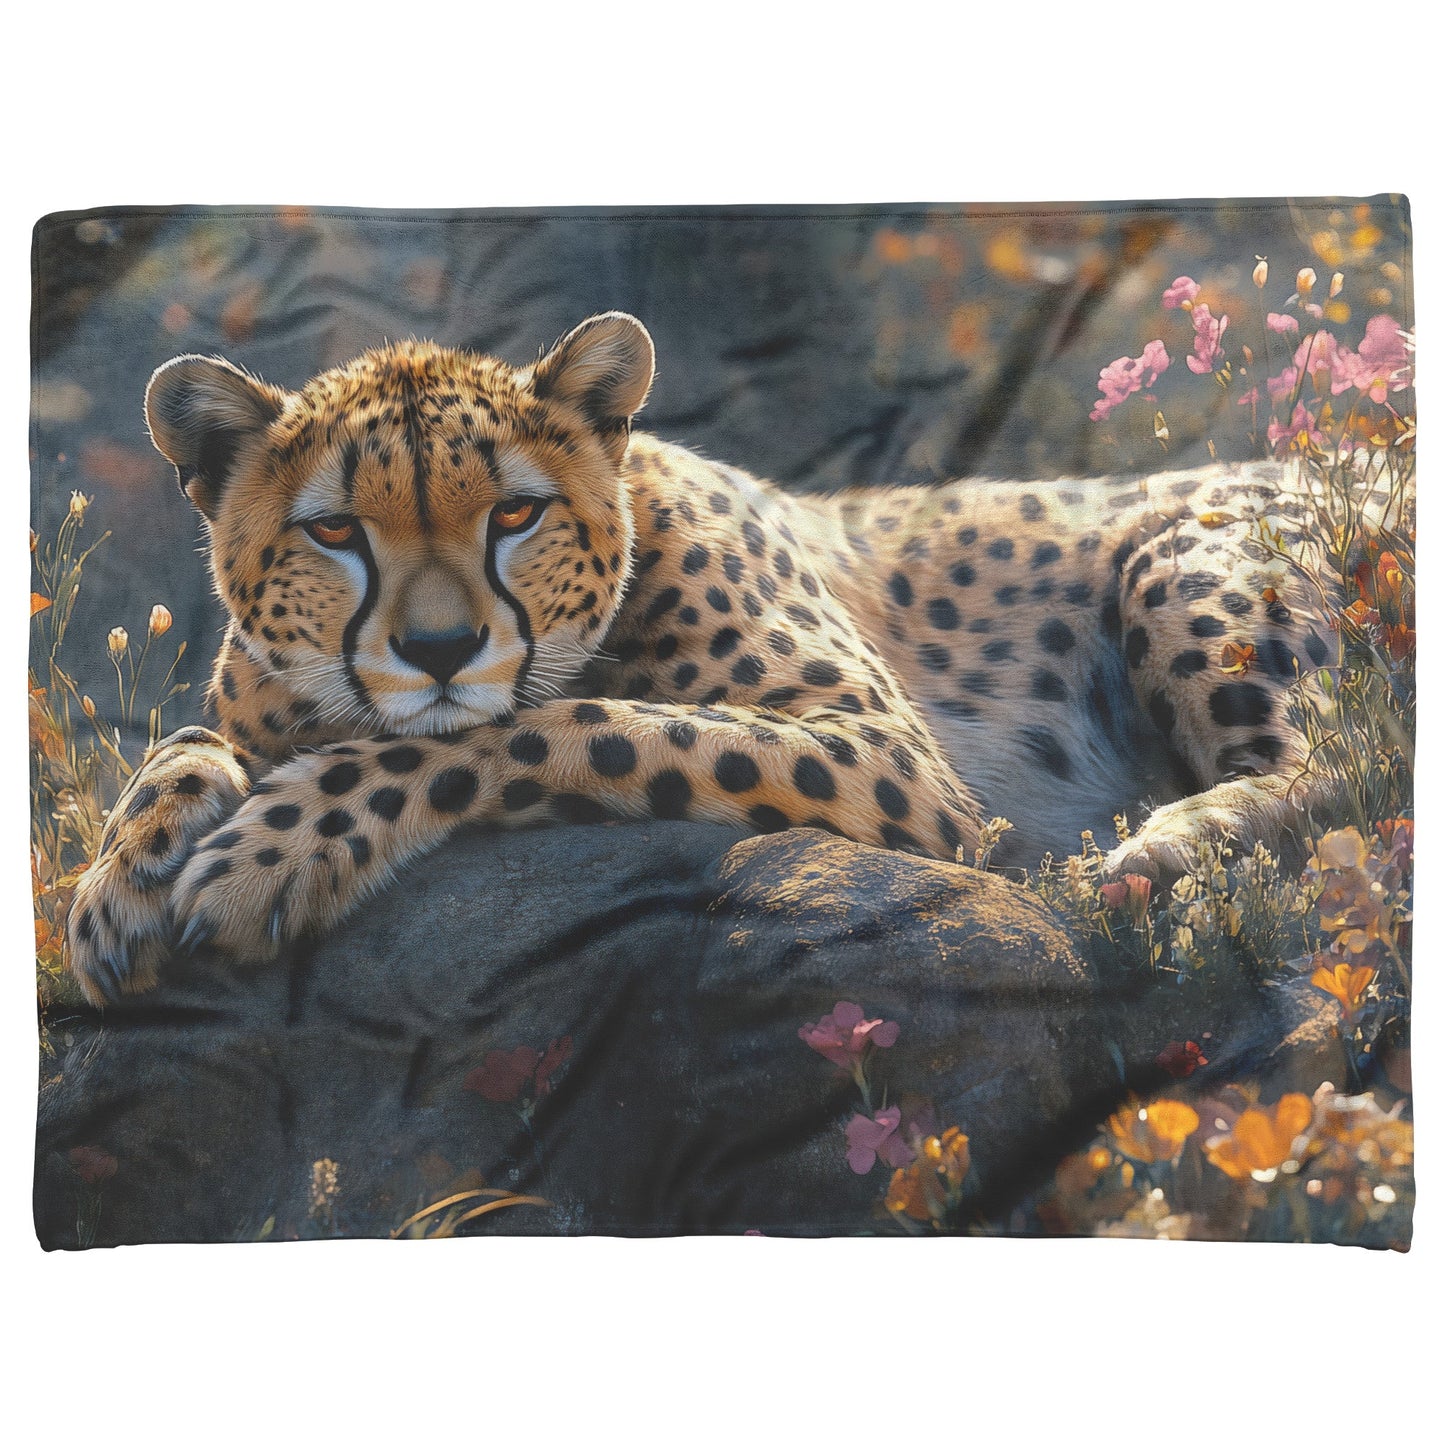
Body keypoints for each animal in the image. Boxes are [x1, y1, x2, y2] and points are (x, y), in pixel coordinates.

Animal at [66, 311, 1342, 1005]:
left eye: (515, 513)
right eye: (334, 531)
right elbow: (190, 737)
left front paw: (273, 847)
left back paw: (1156, 849)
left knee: (1334, 770)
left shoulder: (889, 754)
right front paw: (118, 880)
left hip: (1175, 546)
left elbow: (550, 725)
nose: (437, 648)